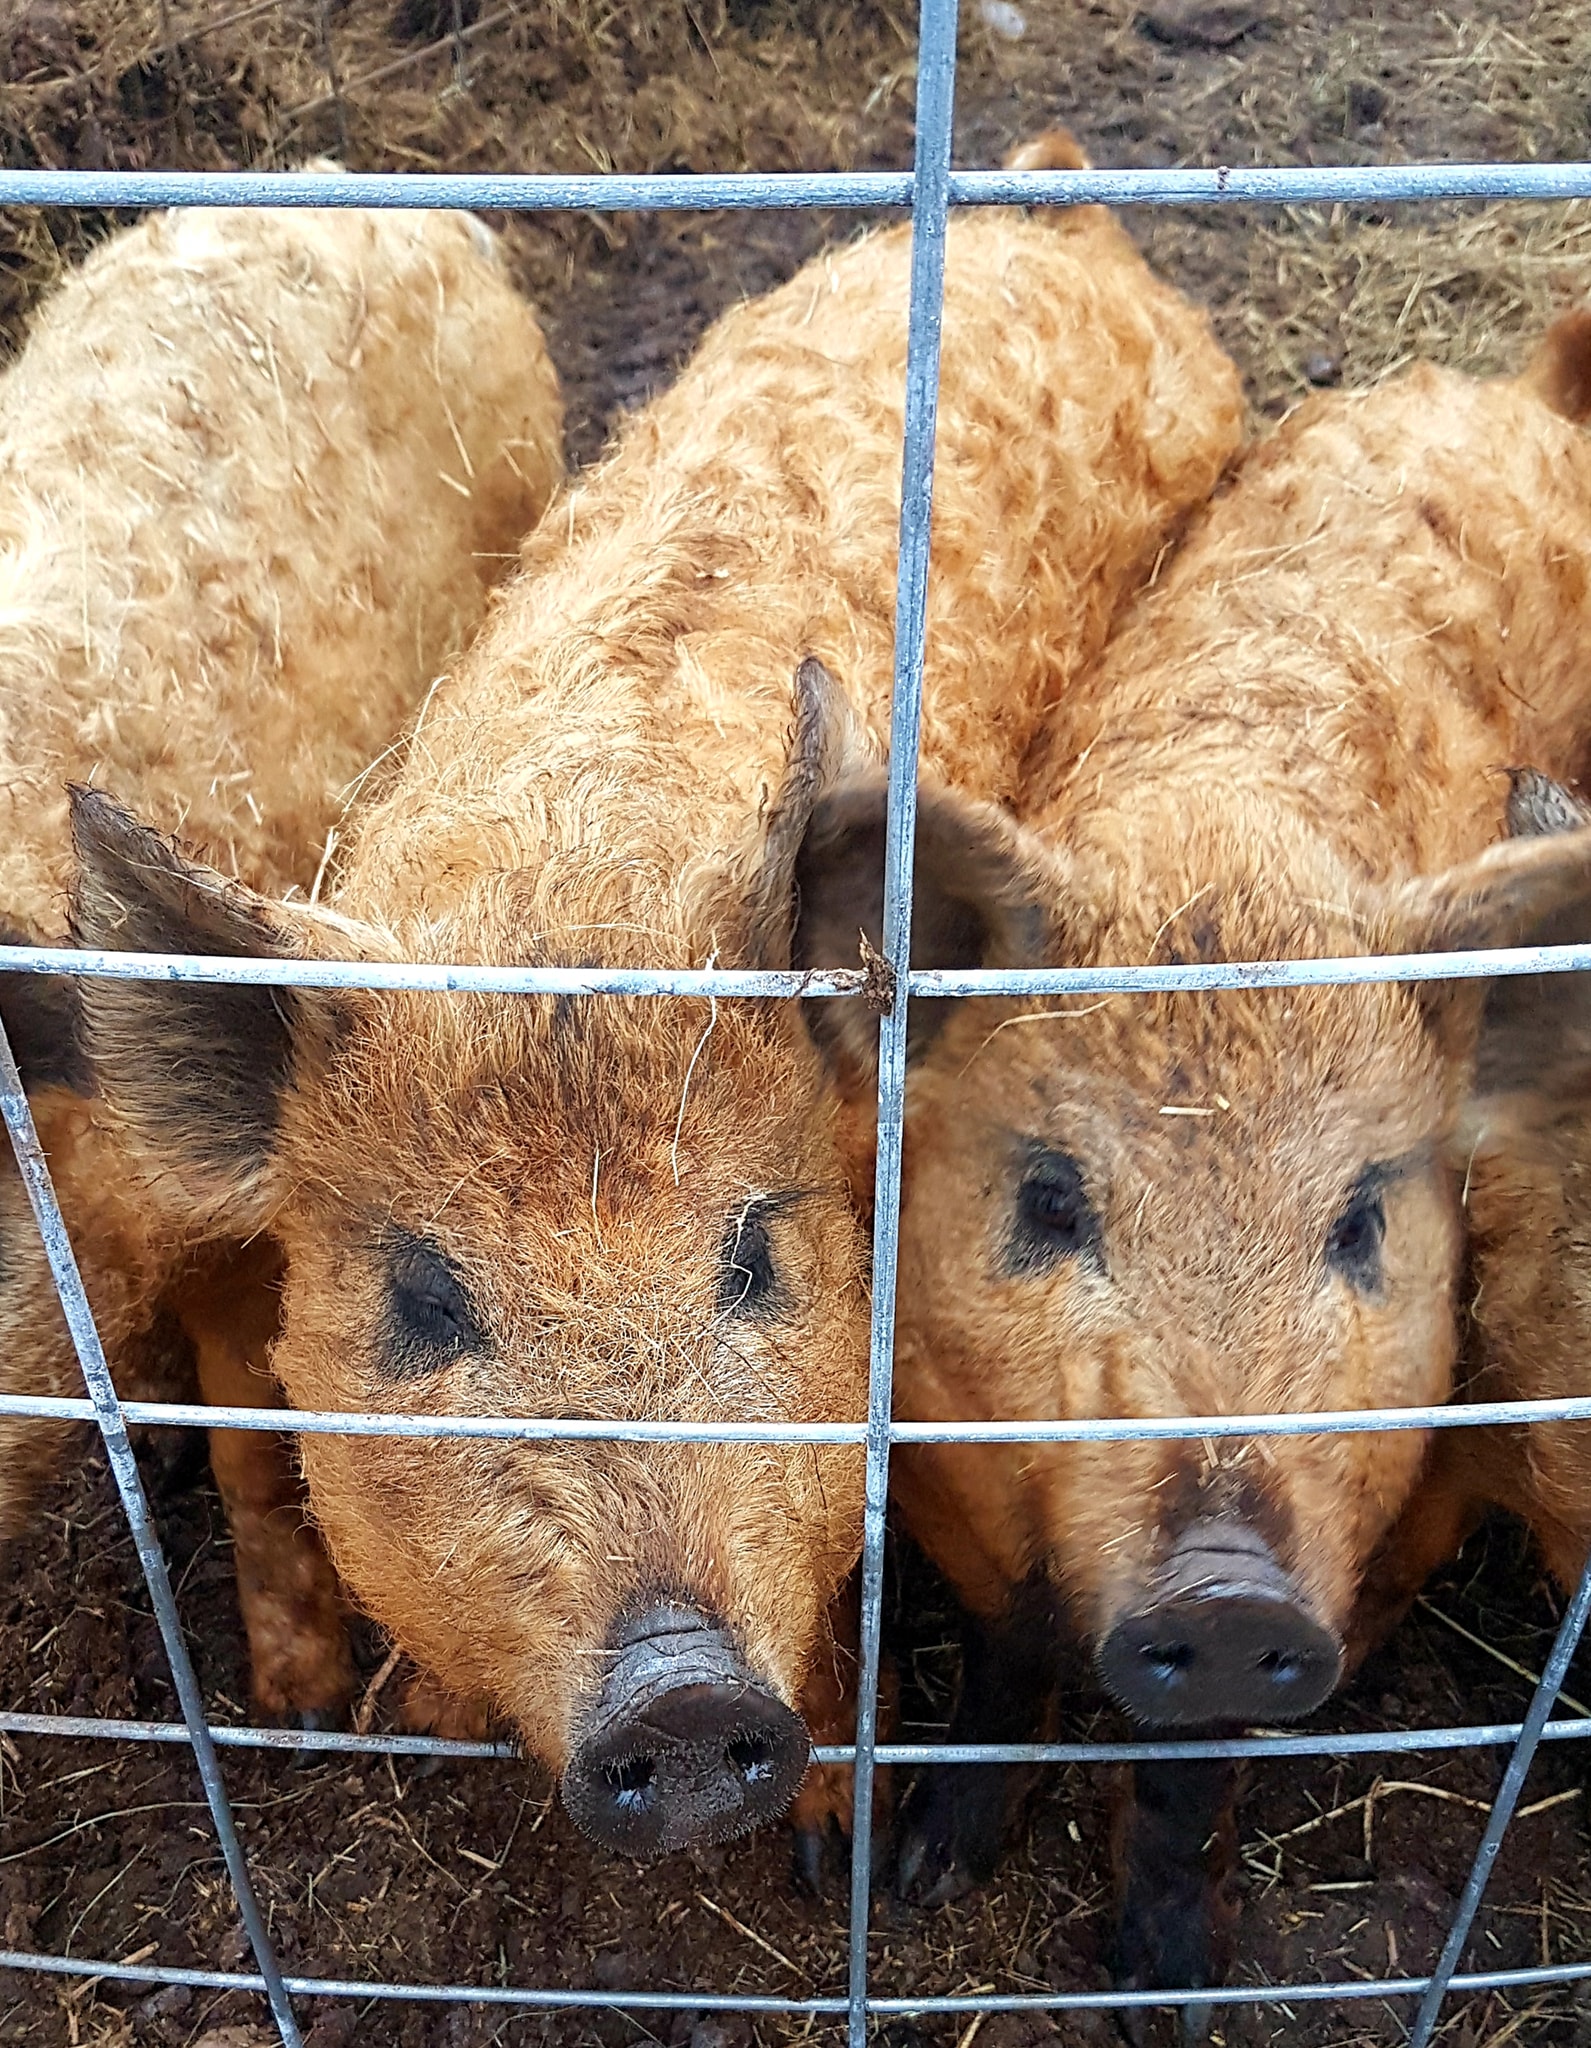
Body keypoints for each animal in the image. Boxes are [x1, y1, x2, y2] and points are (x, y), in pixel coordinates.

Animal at [68, 135, 1246, 1868]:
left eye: (755, 1253)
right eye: (424, 1295)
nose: (681, 1698)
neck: (575, 905)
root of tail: (1062, 211)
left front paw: (831, 1840)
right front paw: (415, 1719)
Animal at [790, 311, 1591, 1994]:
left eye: (1357, 1219)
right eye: (1048, 1197)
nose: (1224, 1589)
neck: (1217, 836)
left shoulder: (1370, 1480)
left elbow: (1193, 1756)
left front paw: (1160, 1983)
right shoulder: (939, 1434)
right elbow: (1011, 1647)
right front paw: (922, 1876)